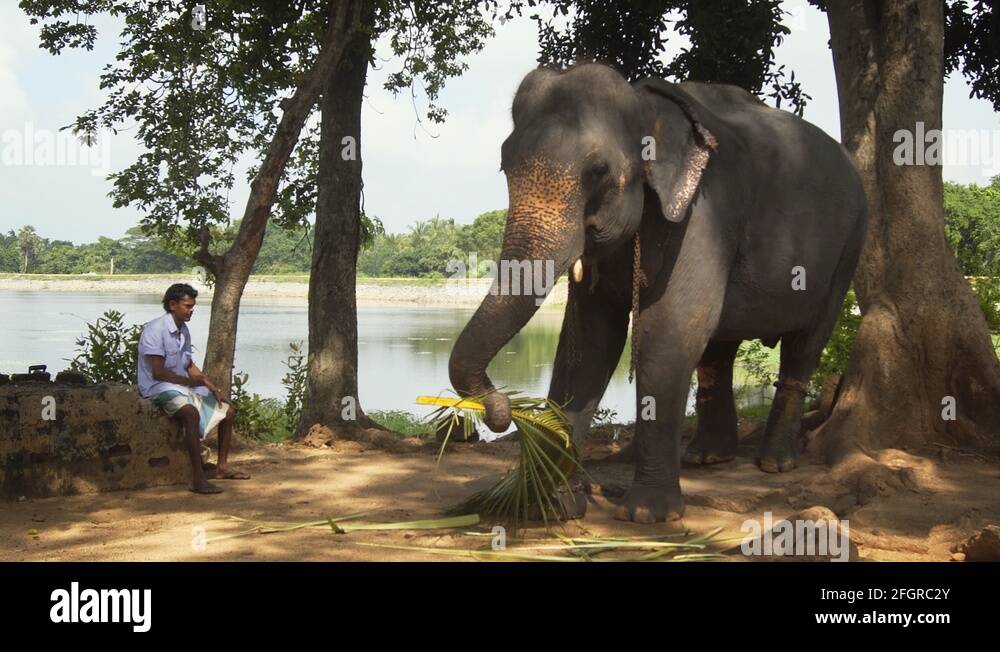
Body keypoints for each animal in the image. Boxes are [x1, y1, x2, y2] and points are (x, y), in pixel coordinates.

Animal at [448, 63, 867, 524]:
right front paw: (555, 505)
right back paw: (708, 458)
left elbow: (668, 331)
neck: (645, 106)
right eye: (504, 164)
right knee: (718, 347)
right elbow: (588, 340)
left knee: (806, 342)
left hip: (849, 248)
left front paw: (646, 515)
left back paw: (775, 462)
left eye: (598, 171)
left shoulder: (704, 216)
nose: (501, 410)